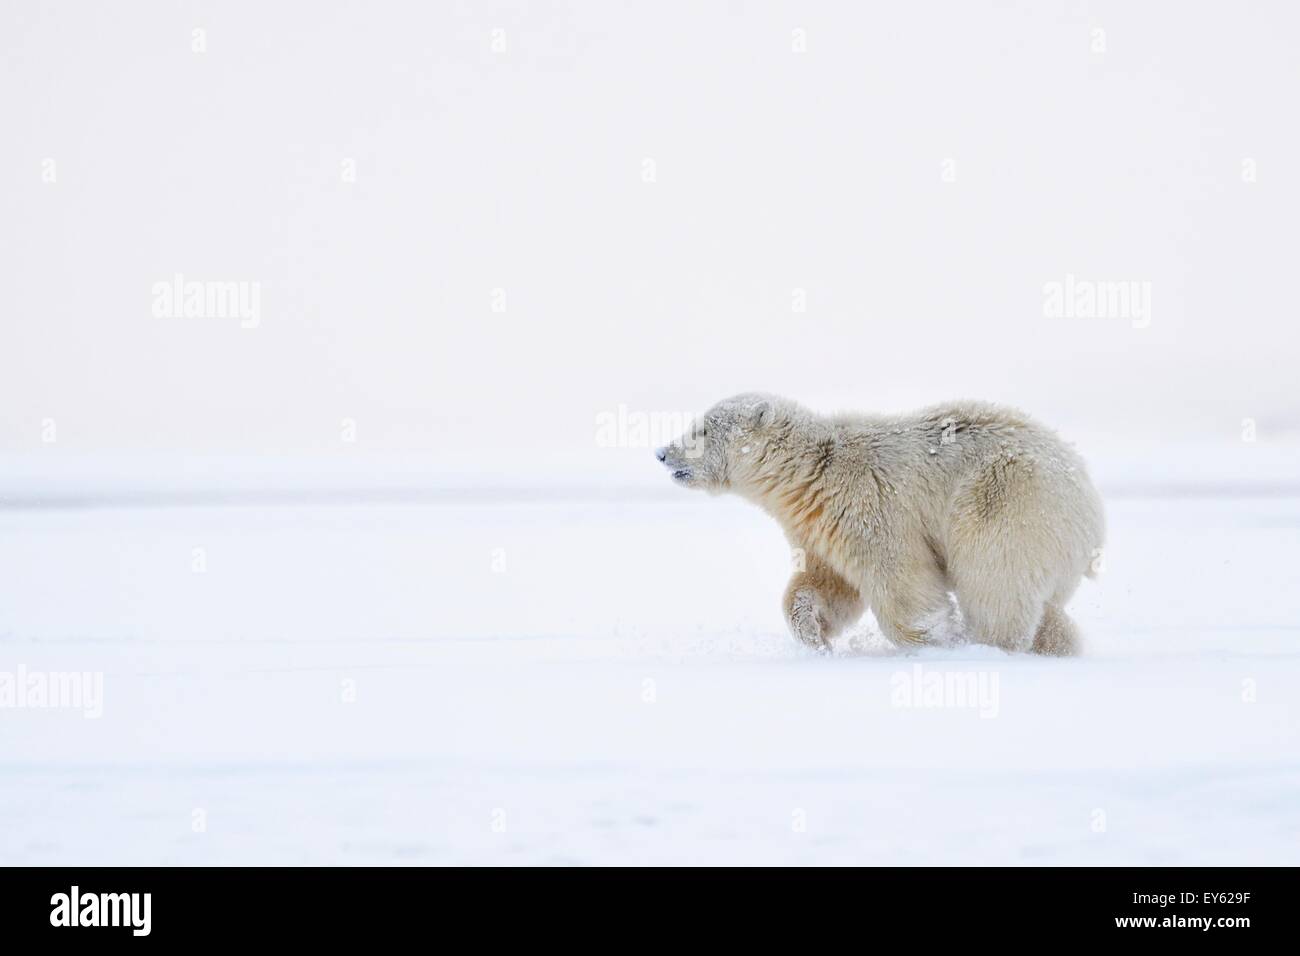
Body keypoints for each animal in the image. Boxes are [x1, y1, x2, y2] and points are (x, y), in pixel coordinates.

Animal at [655, 394, 1104, 656]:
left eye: (701, 429)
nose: (662, 452)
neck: (813, 470)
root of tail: (1090, 504)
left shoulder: (869, 507)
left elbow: (902, 583)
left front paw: (935, 640)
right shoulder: (818, 524)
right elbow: (825, 584)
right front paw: (815, 636)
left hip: (1006, 498)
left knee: (994, 580)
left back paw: (989, 646)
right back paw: (1057, 642)